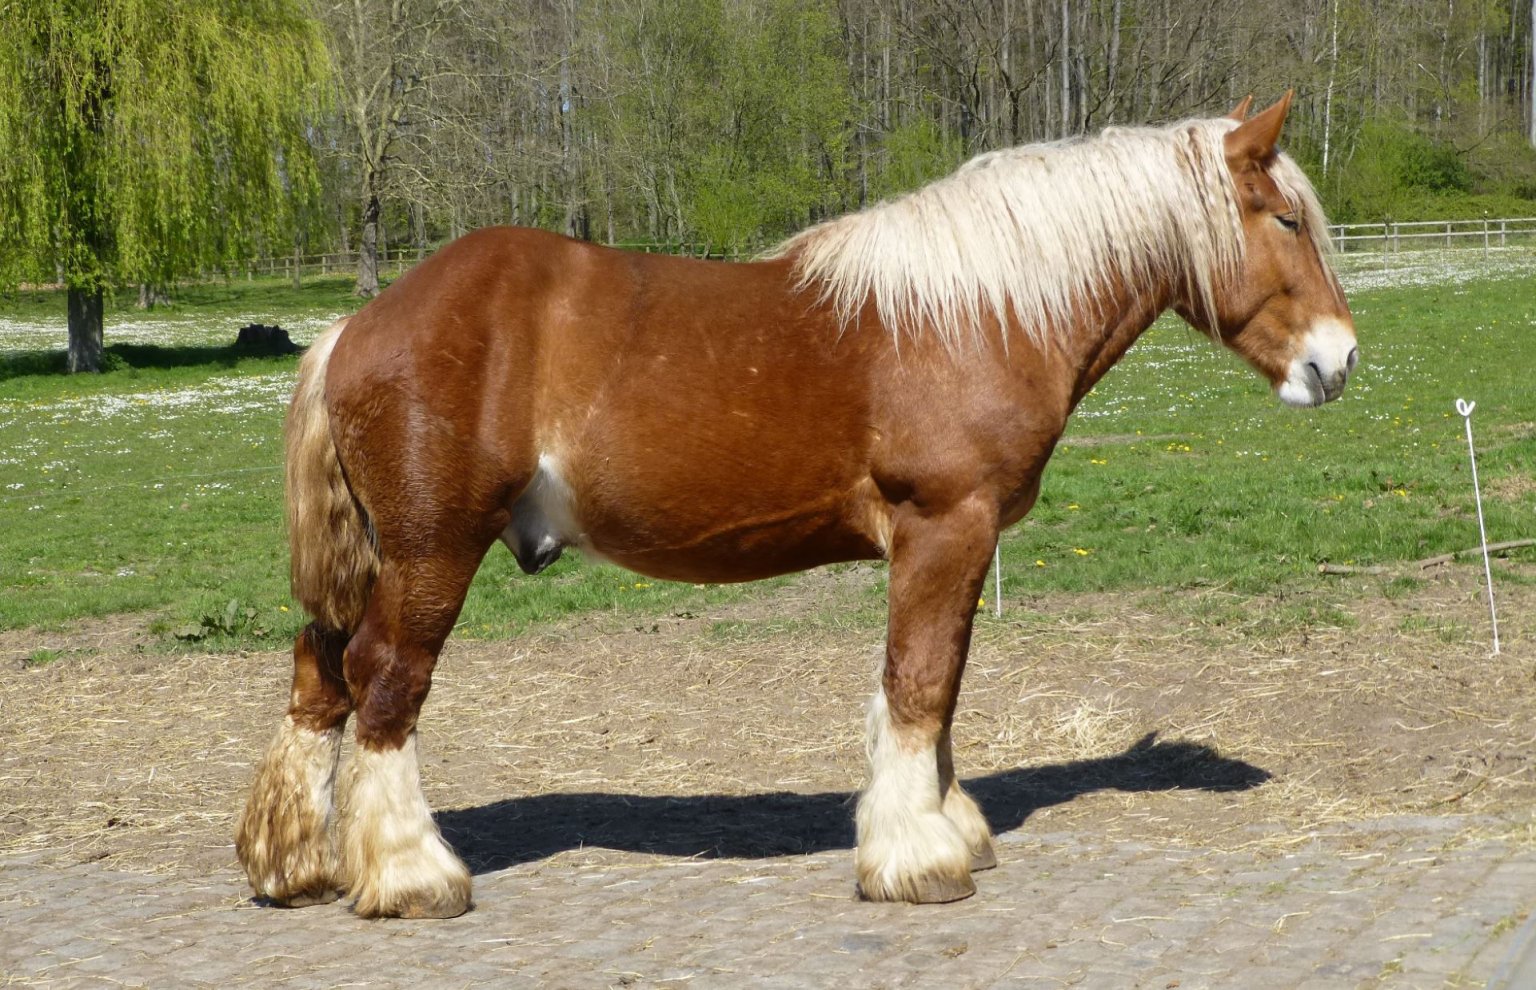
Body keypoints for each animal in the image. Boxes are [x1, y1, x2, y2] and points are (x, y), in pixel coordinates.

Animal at [235, 92, 1357, 918]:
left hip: (381, 558)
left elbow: (943, 689)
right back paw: (411, 874)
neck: (976, 314)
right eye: (1286, 218)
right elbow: (917, 685)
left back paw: (296, 867)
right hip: (433, 552)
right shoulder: (943, 528)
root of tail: (359, 325)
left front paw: (950, 826)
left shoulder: (959, 546)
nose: (1338, 361)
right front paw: (916, 858)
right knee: (387, 684)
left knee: (322, 674)